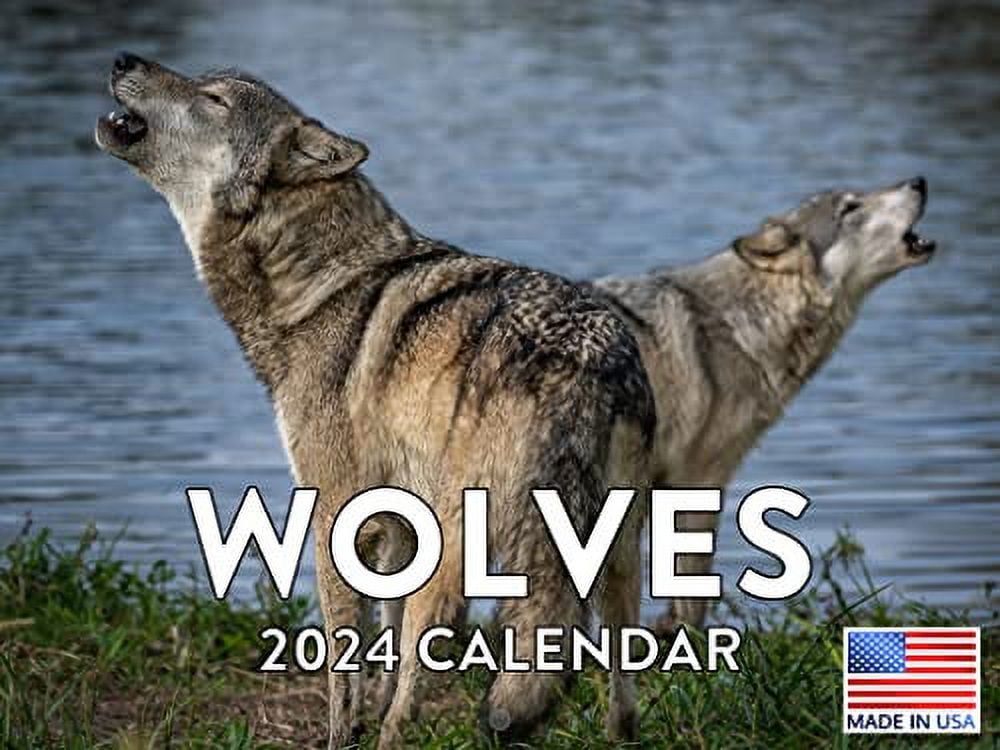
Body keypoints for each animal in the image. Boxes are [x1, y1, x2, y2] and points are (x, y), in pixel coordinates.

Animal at [95, 53, 656, 748]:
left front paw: (343, 734)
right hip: (616, 552)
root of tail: (590, 358)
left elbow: (347, 660)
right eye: (205, 82)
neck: (319, 286)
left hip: (466, 550)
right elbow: (381, 646)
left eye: (214, 99)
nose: (124, 59)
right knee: (621, 672)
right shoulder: (395, 523)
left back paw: (392, 736)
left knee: (430, 654)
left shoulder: (335, 514)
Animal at [593, 178, 936, 629]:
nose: (919, 181)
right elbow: (692, 593)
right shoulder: (700, 479)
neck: (741, 322)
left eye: (856, 198)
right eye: (849, 208)